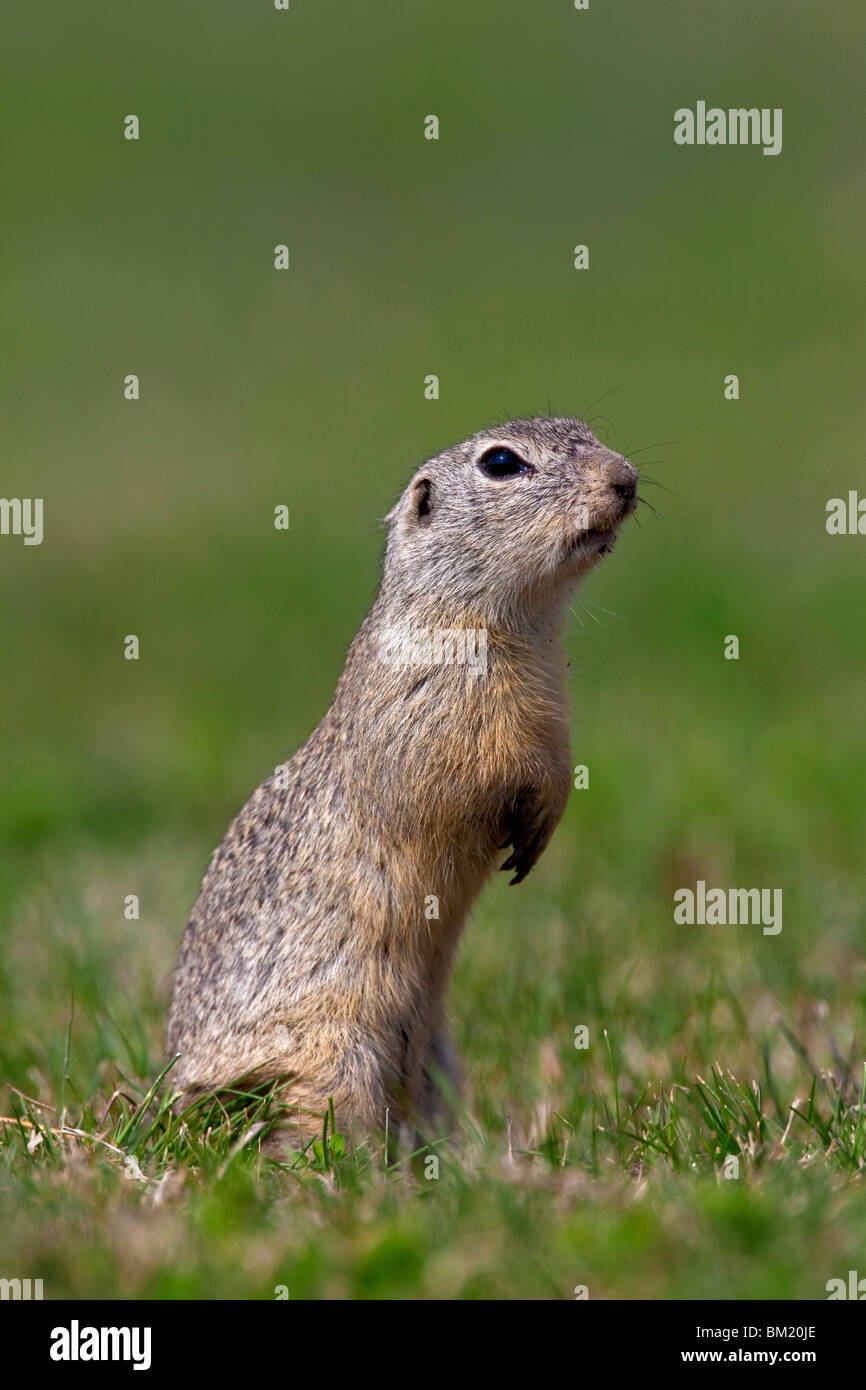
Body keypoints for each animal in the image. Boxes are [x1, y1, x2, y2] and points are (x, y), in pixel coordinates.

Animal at [166, 417, 638, 1147]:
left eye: (587, 429)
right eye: (502, 464)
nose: (627, 478)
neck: (517, 627)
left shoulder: (554, 716)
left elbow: (557, 767)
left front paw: (544, 825)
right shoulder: (428, 707)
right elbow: (460, 777)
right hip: (331, 1056)